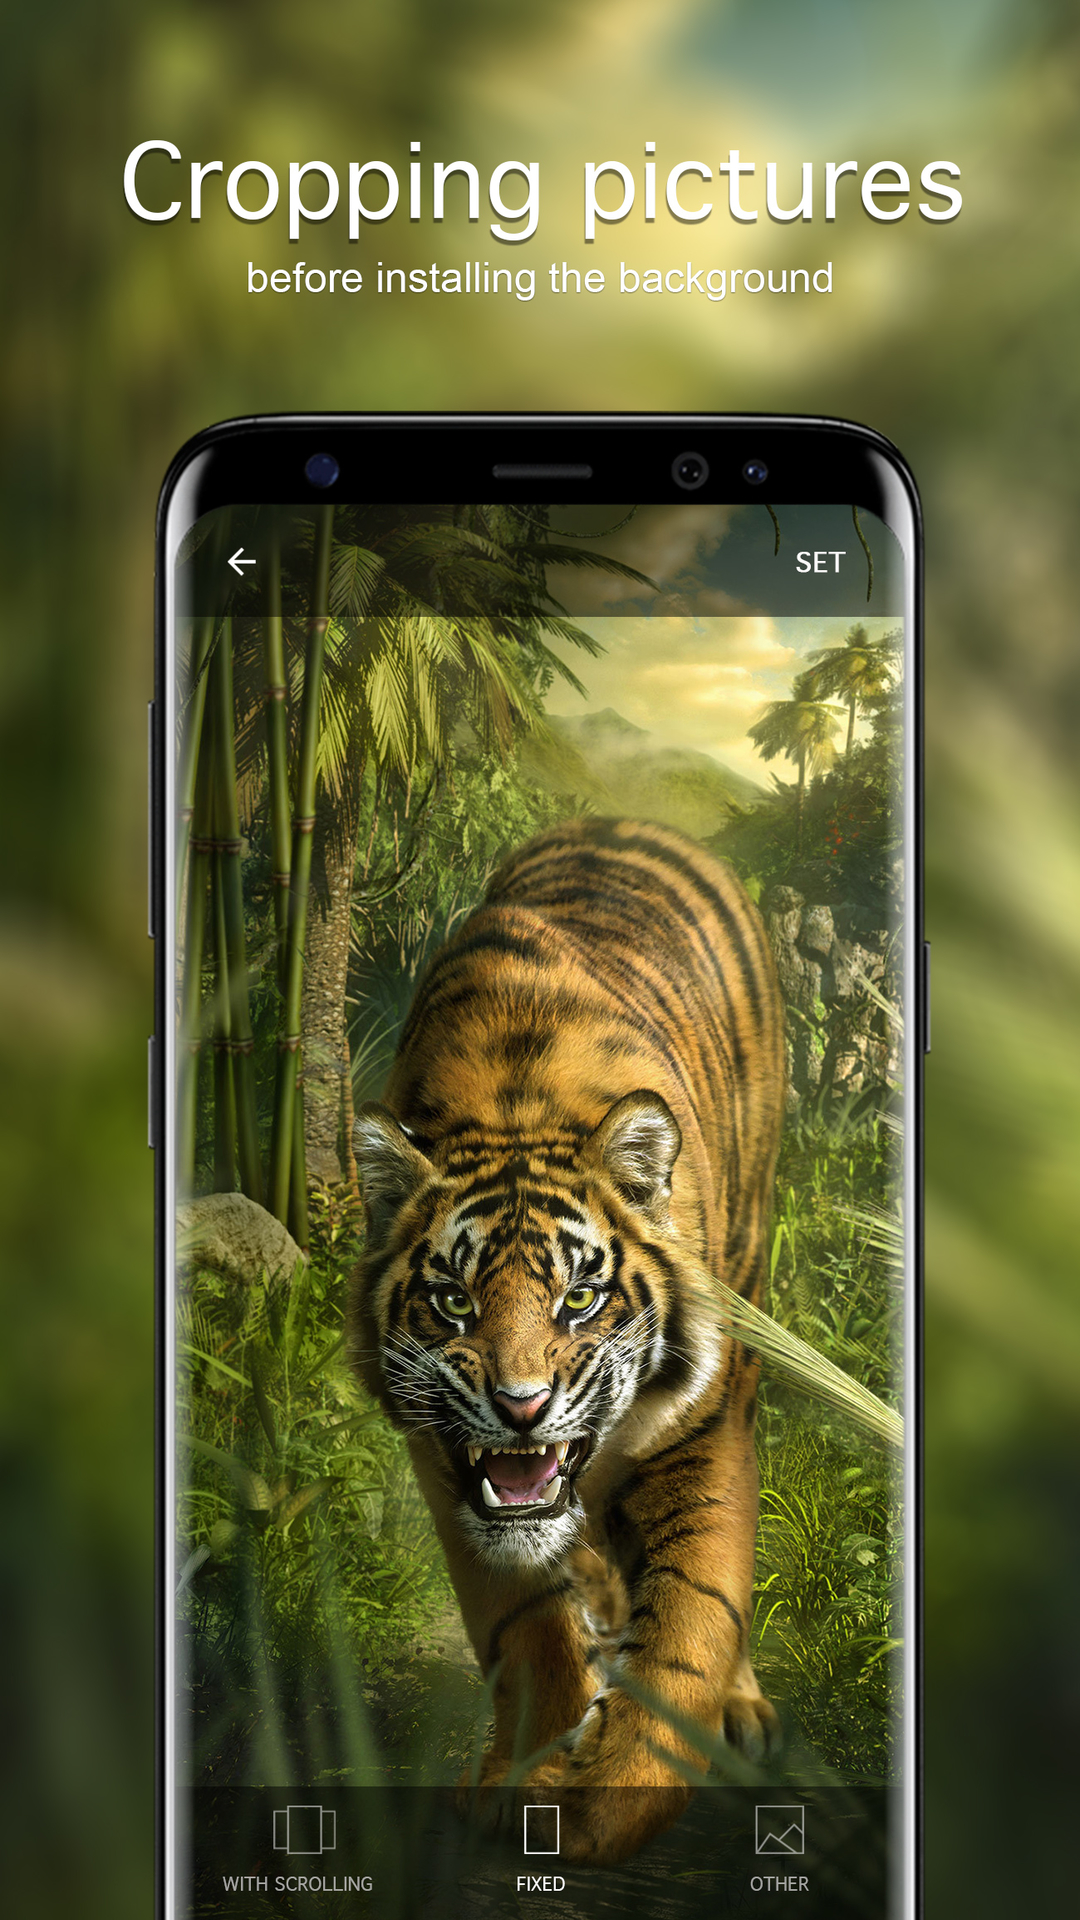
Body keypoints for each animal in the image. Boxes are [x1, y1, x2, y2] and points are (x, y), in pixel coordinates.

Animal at [348, 816, 785, 1864]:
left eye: (580, 1298)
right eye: (453, 1302)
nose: (521, 1408)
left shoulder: (703, 1435)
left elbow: (695, 1620)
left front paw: (613, 1797)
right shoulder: (445, 1464)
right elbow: (525, 1618)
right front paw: (534, 1766)